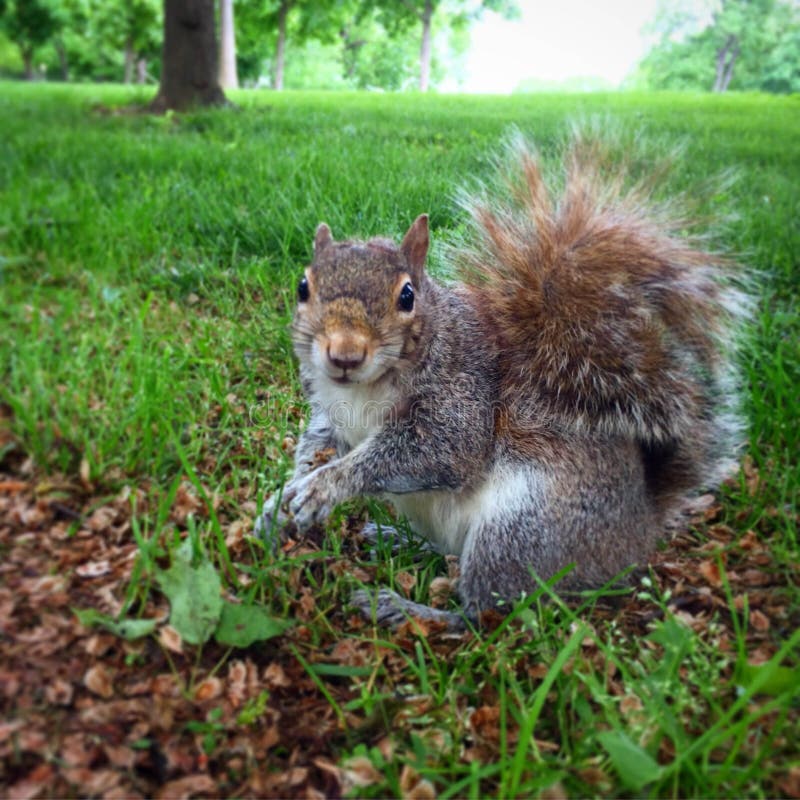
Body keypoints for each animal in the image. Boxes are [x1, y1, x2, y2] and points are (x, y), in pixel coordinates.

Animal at [258, 132, 744, 630]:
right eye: (302, 287)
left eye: (407, 295)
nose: (345, 355)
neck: (361, 388)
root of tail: (638, 533)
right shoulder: (331, 415)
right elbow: (316, 447)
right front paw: (277, 505)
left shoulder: (462, 399)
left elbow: (433, 452)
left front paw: (325, 486)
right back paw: (392, 538)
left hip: (518, 532)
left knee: (486, 615)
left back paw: (405, 608)